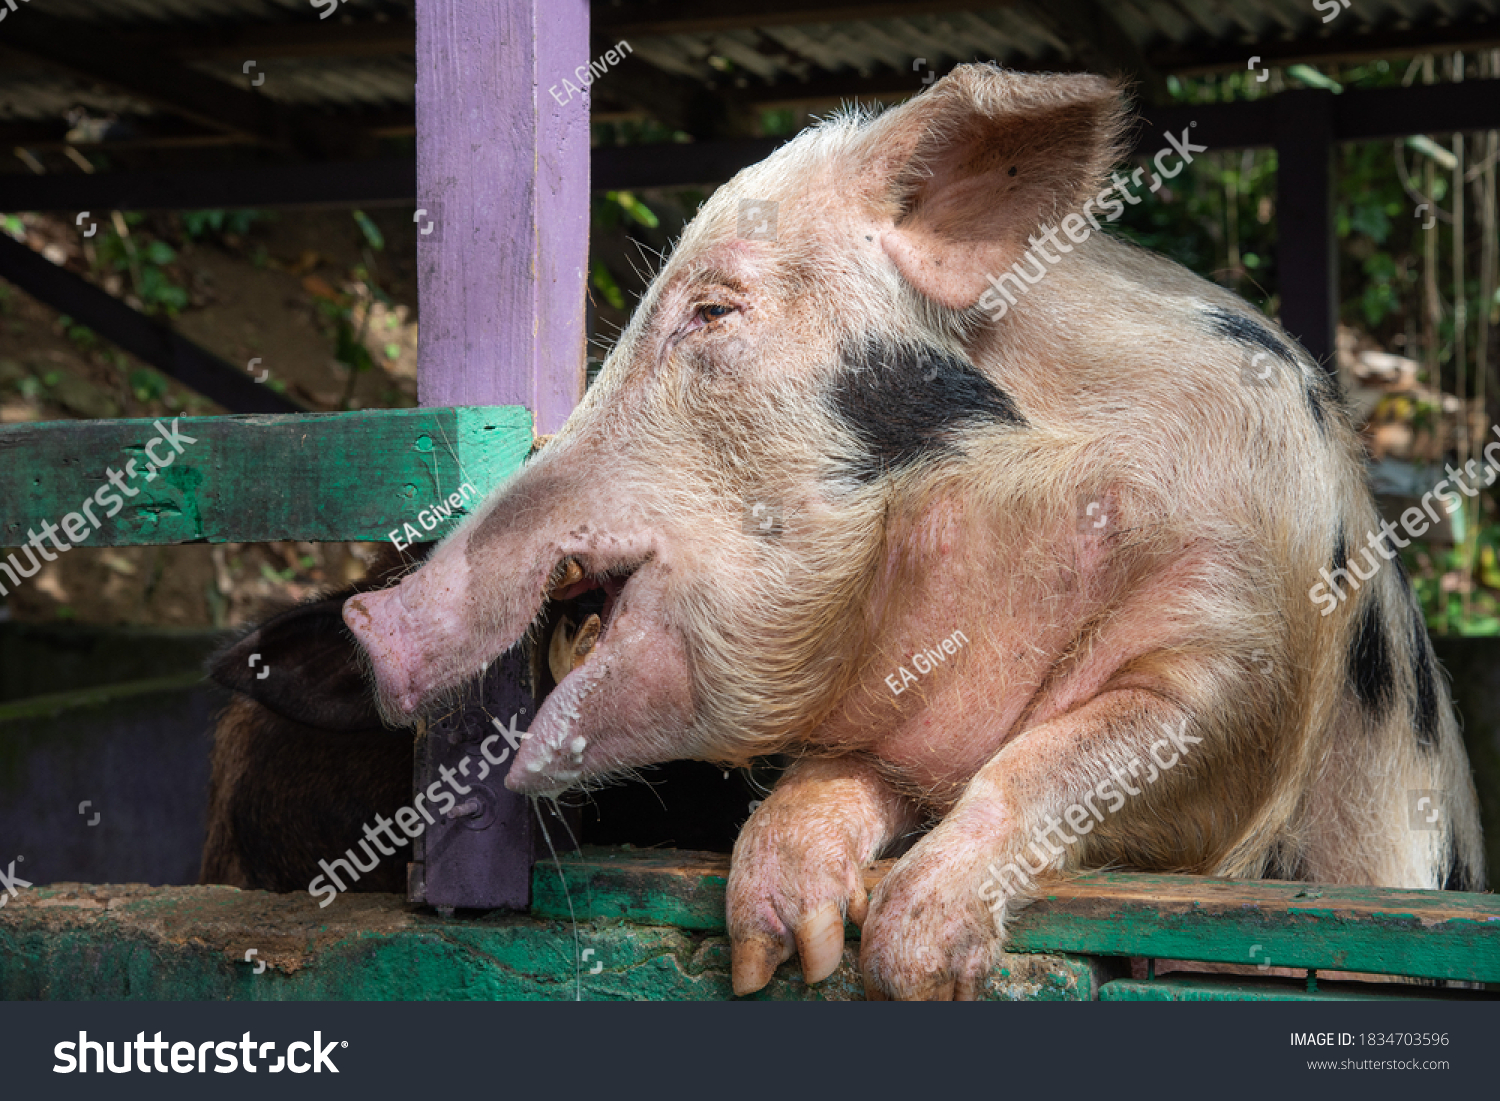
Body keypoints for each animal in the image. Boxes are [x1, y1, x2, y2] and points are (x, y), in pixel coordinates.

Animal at [343, 65, 1486, 1000]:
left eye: (713, 313)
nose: (366, 616)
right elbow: (839, 776)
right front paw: (785, 954)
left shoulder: (1245, 638)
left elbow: (1078, 752)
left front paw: (909, 959)